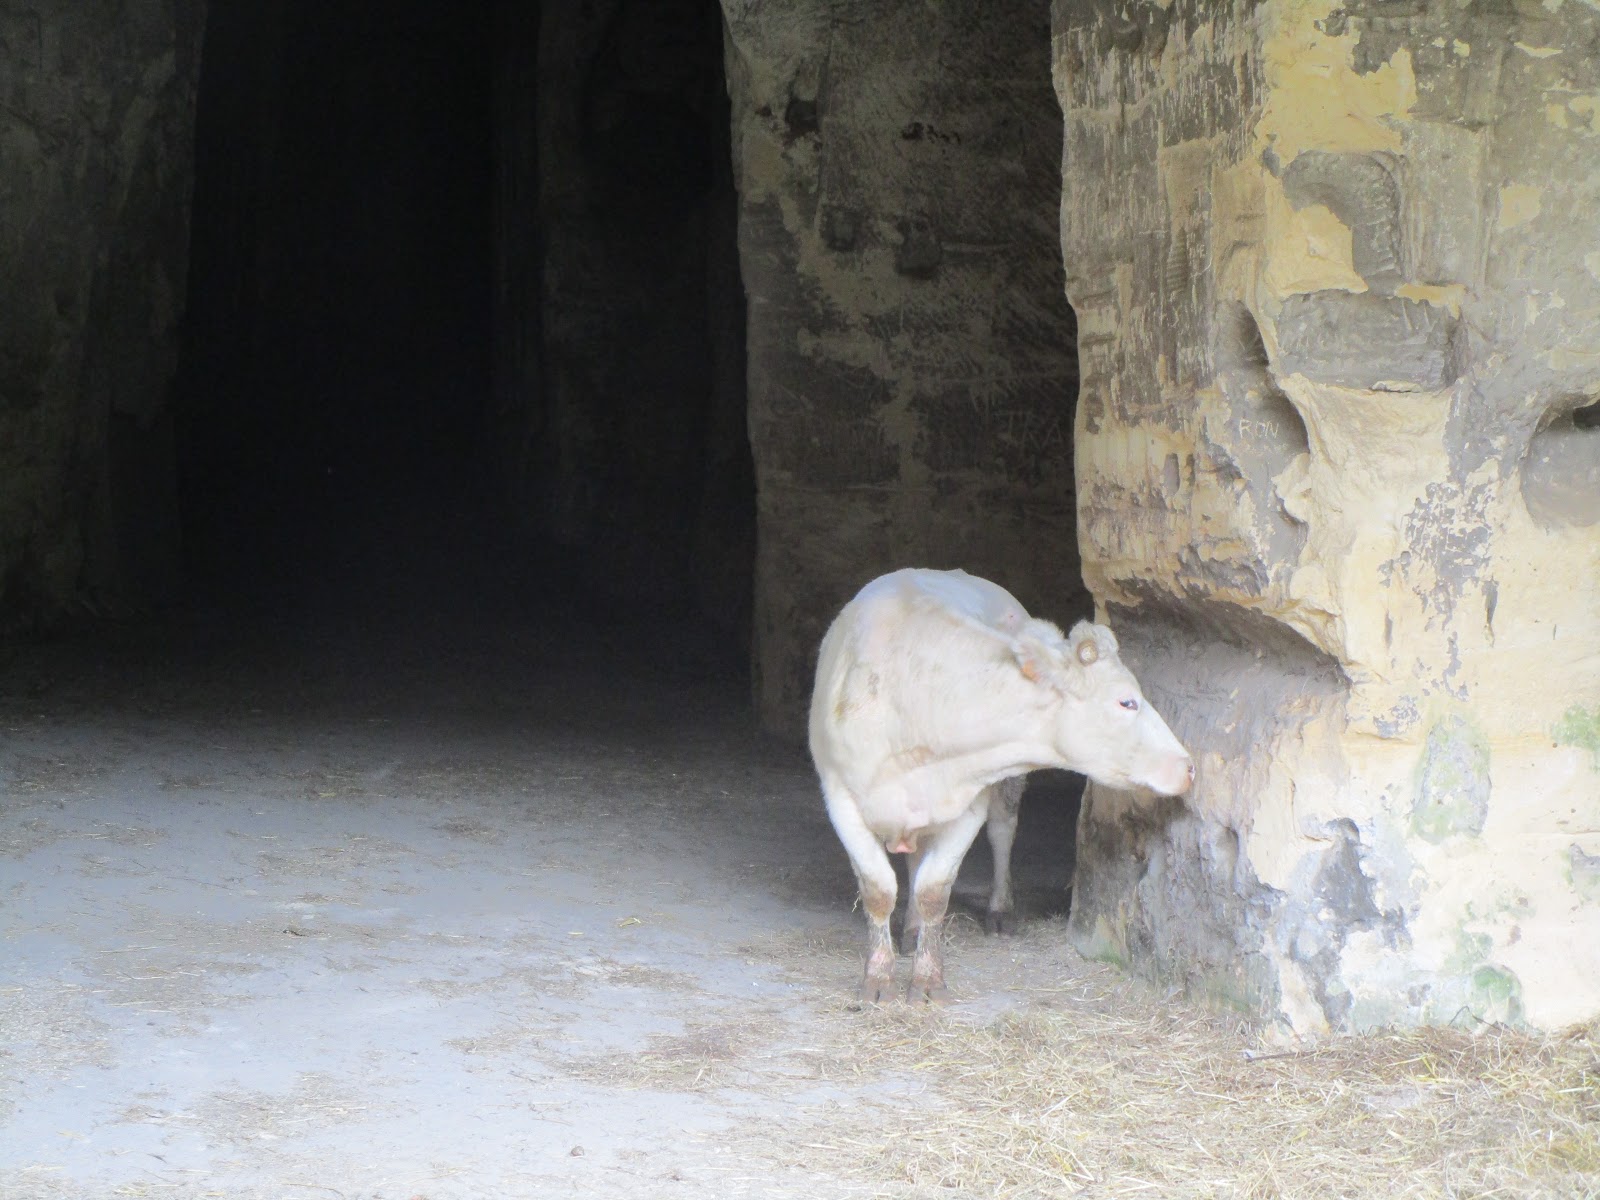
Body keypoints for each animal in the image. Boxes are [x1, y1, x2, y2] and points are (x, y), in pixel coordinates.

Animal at [808, 567, 1194, 1004]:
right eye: (1127, 702)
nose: (1188, 765)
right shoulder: (839, 795)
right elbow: (878, 889)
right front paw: (876, 978)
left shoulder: (970, 801)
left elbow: (934, 891)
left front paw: (928, 980)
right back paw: (909, 928)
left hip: (1005, 786)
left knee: (1001, 833)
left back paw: (998, 909)